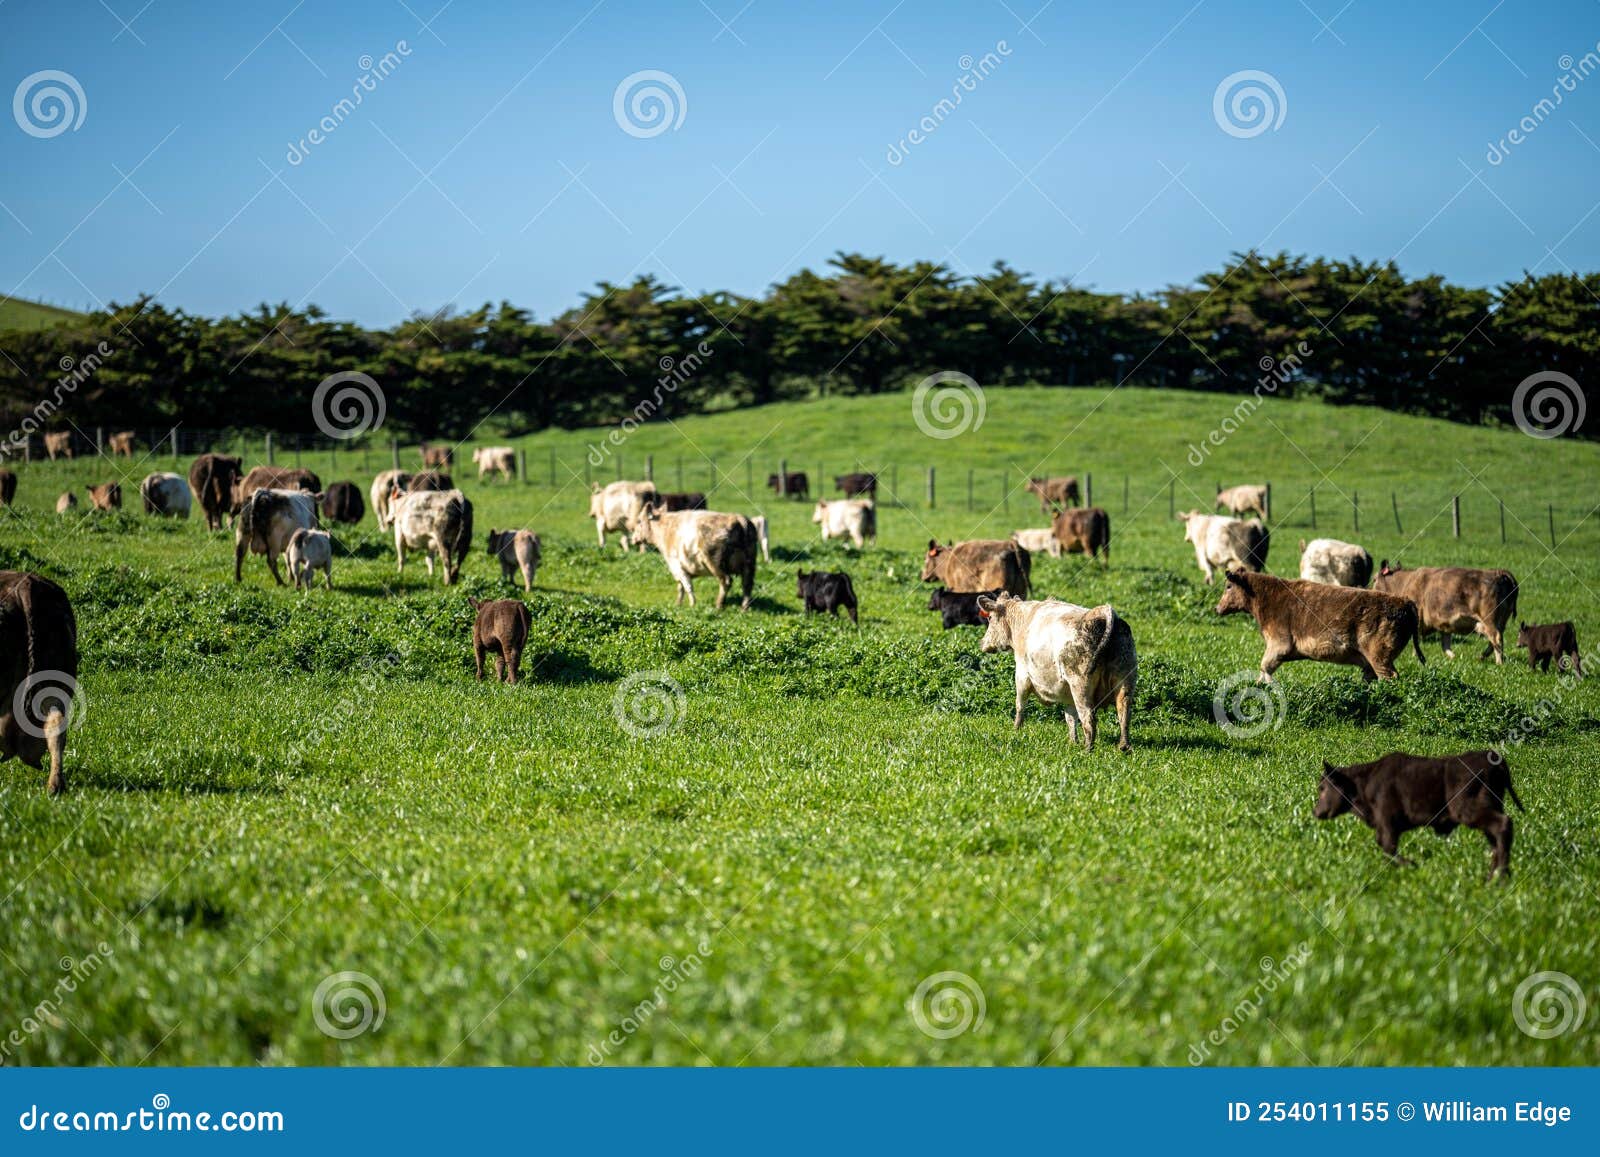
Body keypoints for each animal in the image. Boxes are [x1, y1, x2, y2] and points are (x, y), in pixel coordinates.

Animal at [628, 507, 758, 610]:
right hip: (749, 565)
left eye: (639, 521)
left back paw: (719, 605)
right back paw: (744, 607)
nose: (633, 539)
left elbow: (687, 586)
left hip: (715, 563)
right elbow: (681, 587)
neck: (666, 529)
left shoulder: (677, 566)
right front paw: (678, 604)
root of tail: (738, 518)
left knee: (726, 581)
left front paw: (692, 604)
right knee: (747, 584)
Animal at [977, 593, 1137, 752]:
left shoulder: (1022, 674)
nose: (982, 643)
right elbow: (1070, 717)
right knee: (1124, 714)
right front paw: (1073, 741)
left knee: (1088, 718)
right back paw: (1123, 746)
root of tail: (1102, 612)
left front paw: (1016, 729)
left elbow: (1020, 705)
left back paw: (1087, 749)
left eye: (990, 618)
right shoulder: (1067, 692)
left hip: (1080, 685)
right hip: (1125, 682)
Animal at [1215, 569, 1425, 682]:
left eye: (1228, 586)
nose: (1217, 608)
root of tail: (1404, 601)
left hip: (1380, 657)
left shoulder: (1279, 644)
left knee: (1389, 677)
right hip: (1371, 662)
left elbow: (1265, 667)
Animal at [1314, 750, 1524, 879]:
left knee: (1503, 826)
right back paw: (1491, 879)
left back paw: (1499, 879)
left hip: (1468, 810)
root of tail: (1496, 760)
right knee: (1495, 841)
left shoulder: (1387, 822)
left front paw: (1412, 865)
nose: (1316, 811)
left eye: (1322, 788)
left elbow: (1388, 847)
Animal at [1373, 562, 1518, 664]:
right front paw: (1452, 657)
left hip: (1489, 620)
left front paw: (1415, 656)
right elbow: (1445, 644)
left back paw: (1499, 662)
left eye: (1374, 579)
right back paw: (1481, 656)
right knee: (1493, 641)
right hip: (1500, 622)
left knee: (1496, 638)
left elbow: (1416, 641)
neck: (1406, 582)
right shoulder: (1445, 625)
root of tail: (1499, 573)